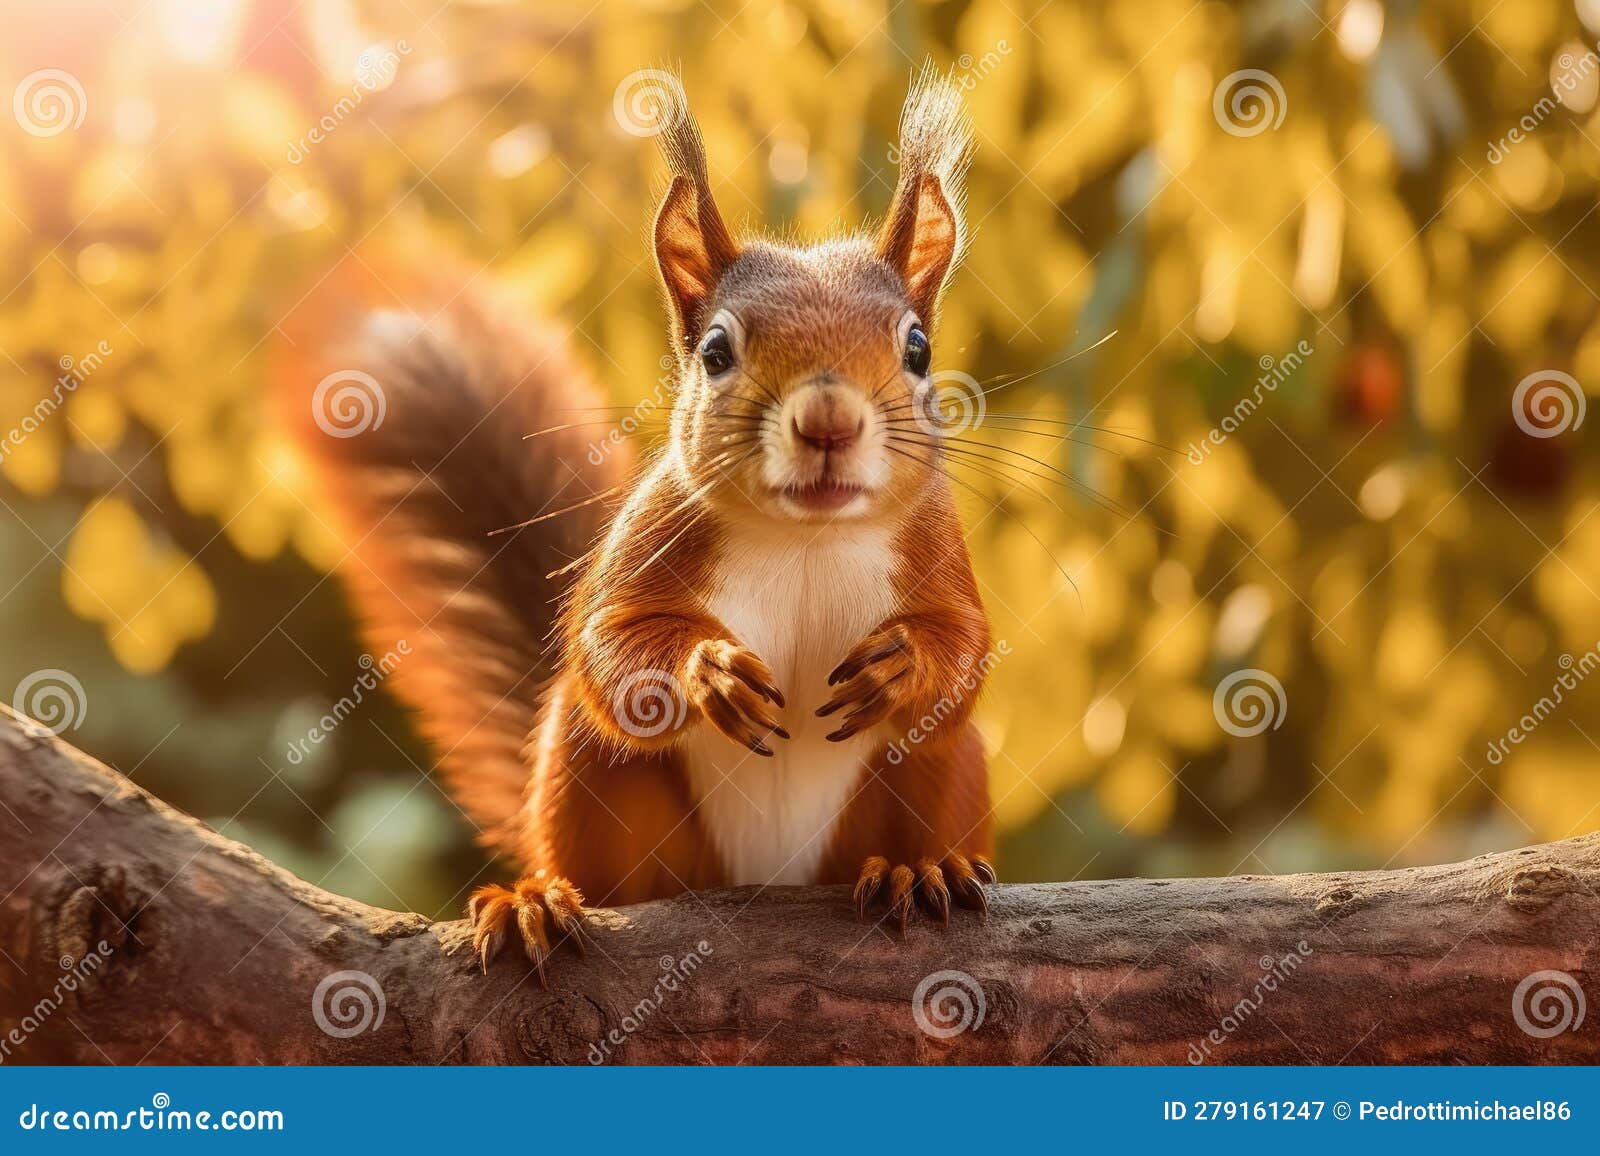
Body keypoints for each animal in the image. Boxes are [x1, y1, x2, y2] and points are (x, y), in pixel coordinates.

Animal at [280, 70, 996, 980]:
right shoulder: (653, 535)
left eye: (917, 348)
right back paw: (538, 903)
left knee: (938, 757)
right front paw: (709, 671)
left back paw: (918, 868)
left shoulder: (937, 544)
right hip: (592, 780)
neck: (807, 536)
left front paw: (901, 665)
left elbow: (966, 647)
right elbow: (608, 645)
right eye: (716, 352)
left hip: (940, 771)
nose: (829, 422)